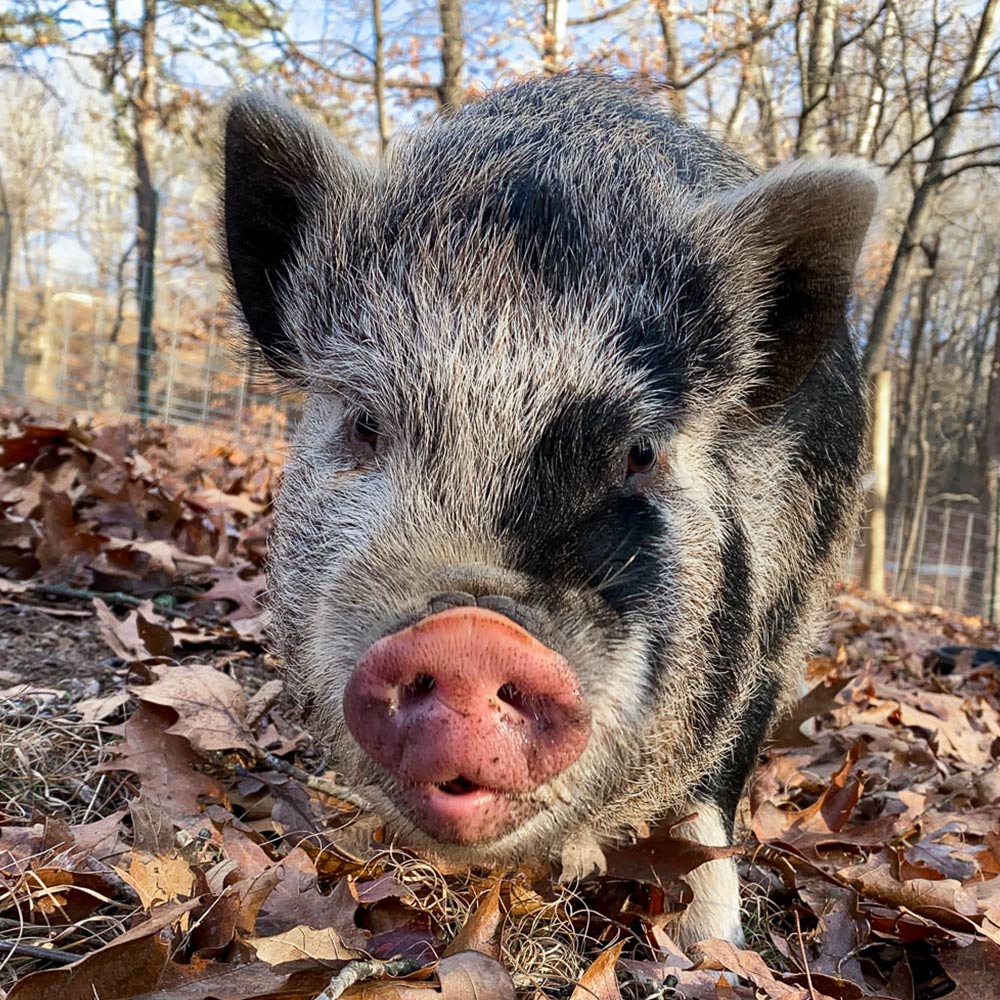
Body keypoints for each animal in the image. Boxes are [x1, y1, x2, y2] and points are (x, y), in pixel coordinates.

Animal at [220, 73, 877, 948]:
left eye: (641, 451)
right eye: (365, 421)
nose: (469, 636)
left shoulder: (772, 639)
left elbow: (712, 798)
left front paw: (714, 948)